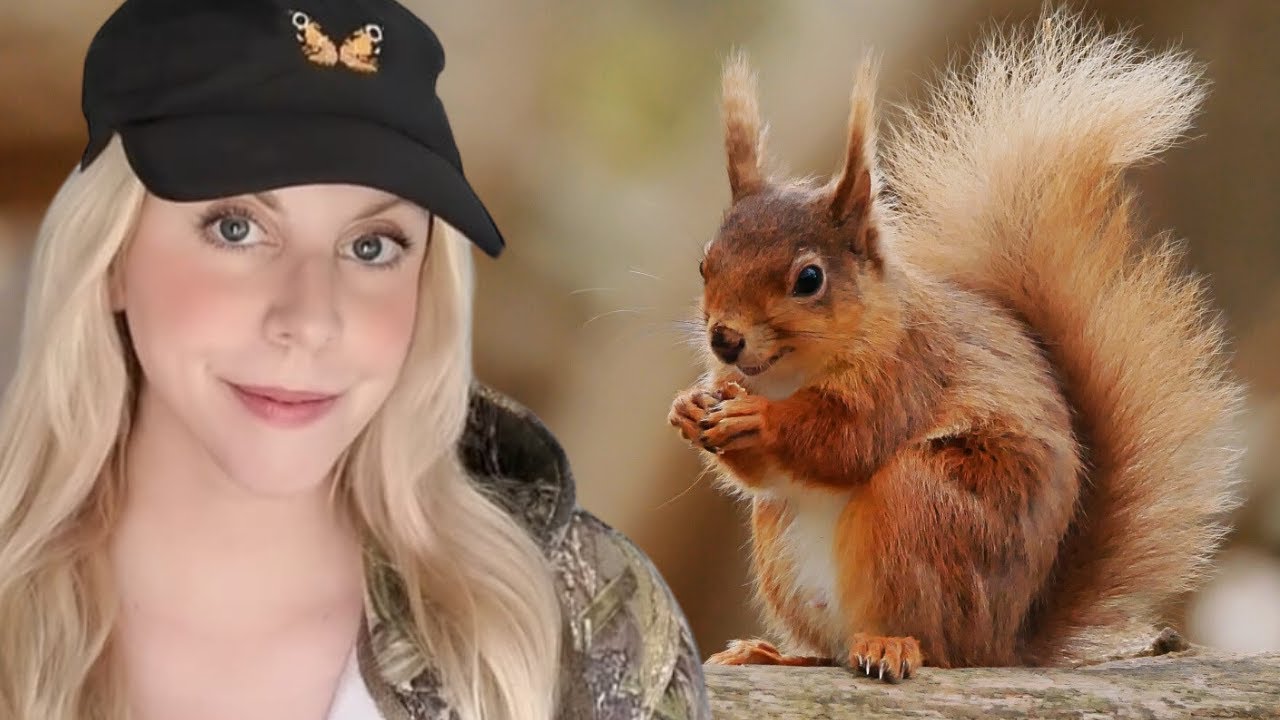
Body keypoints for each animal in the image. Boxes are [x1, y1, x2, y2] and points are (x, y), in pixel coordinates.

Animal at [668, 9, 1245, 683]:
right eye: (705, 264)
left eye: (809, 279)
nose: (724, 339)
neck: (793, 374)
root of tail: (1004, 643)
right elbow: (760, 467)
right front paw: (690, 406)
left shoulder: (908, 372)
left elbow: (849, 441)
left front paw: (759, 417)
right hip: (782, 535)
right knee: (825, 644)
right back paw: (775, 652)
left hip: (924, 509)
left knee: (934, 643)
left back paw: (889, 645)